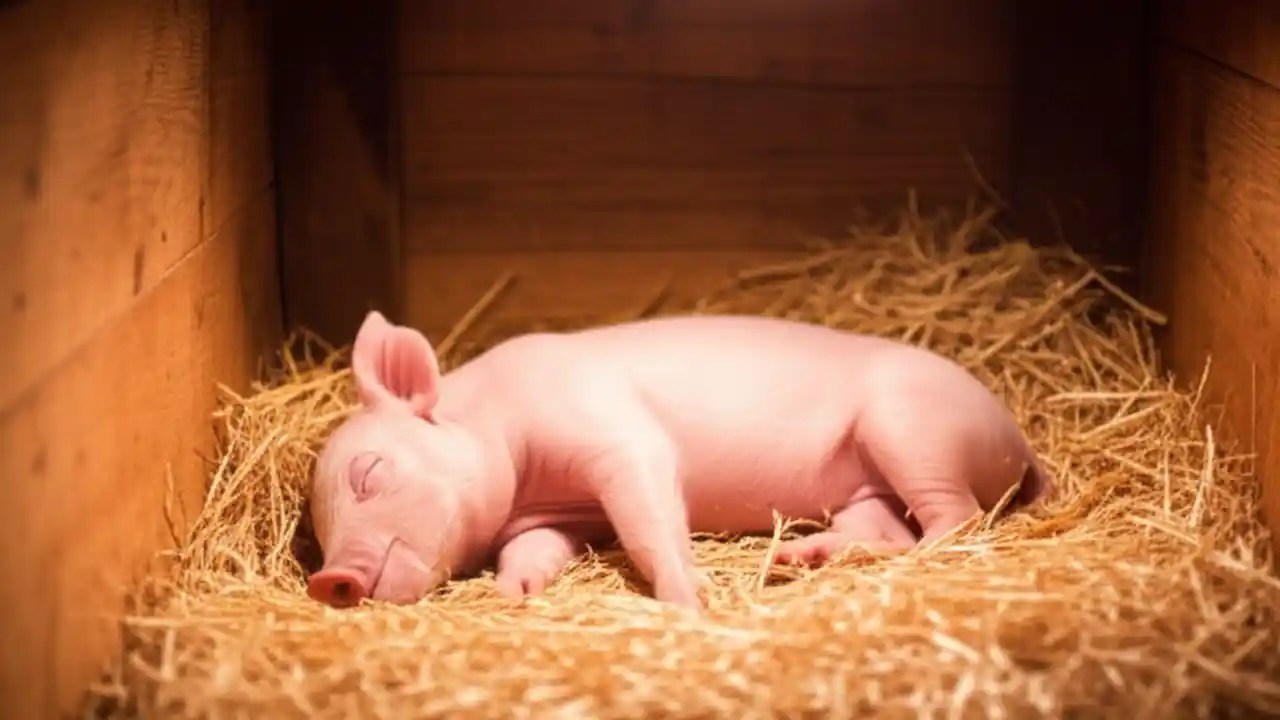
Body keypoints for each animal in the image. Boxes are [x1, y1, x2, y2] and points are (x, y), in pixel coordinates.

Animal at [304, 311, 1051, 611]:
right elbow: (536, 549)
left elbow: (647, 519)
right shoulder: (550, 517)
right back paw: (795, 559)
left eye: (368, 474)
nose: (327, 580)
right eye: (317, 532)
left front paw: (690, 601)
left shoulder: (618, 434)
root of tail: (1017, 439)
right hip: (869, 487)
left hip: (909, 428)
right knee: (886, 529)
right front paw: (514, 592)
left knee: (957, 518)